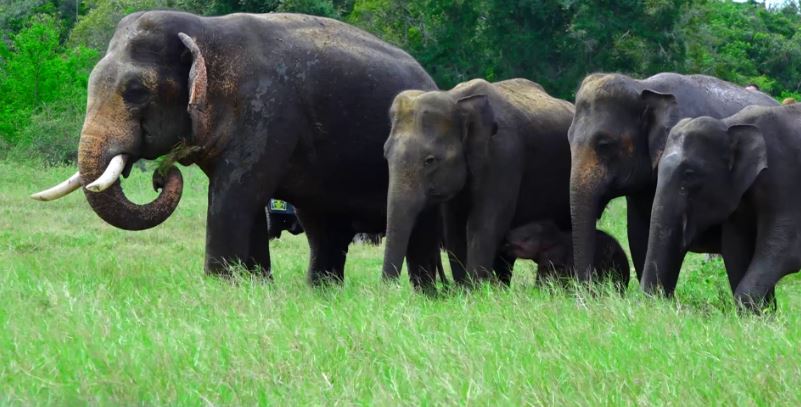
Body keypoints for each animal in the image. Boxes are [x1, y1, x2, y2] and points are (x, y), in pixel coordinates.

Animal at [30, 11, 439, 285]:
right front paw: (256, 285)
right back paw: (321, 291)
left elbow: (235, 193)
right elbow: (249, 201)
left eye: (135, 91)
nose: (162, 177)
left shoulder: (268, 111)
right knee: (323, 226)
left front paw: (218, 285)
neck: (205, 30)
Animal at [381, 78, 574, 287]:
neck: (456, 99)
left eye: (430, 160)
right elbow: (454, 228)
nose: (388, 289)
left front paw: (475, 289)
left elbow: (484, 224)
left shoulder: (504, 155)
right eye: (386, 154)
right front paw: (464, 288)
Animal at [642, 104, 801, 309]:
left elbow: (786, 249)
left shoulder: (786, 179)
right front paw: (762, 313)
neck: (730, 125)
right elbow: (736, 250)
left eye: (689, 174)